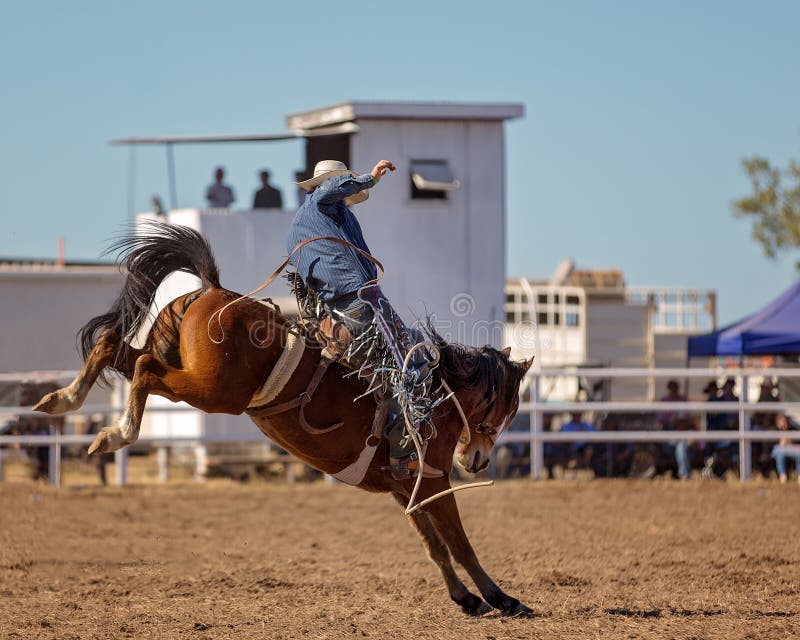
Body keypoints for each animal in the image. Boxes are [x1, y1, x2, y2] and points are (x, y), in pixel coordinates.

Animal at [32, 222, 534, 617]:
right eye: (506, 409)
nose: (478, 460)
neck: (434, 396)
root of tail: (213, 291)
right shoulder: (433, 480)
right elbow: (460, 543)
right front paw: (503, 599)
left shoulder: (404, 487)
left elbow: (435, 547)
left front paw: (467, 600)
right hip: (210, 391)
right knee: (143, 370)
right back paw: (115, 433)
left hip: (180, 364)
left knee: (114, 348)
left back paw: (61, 400)